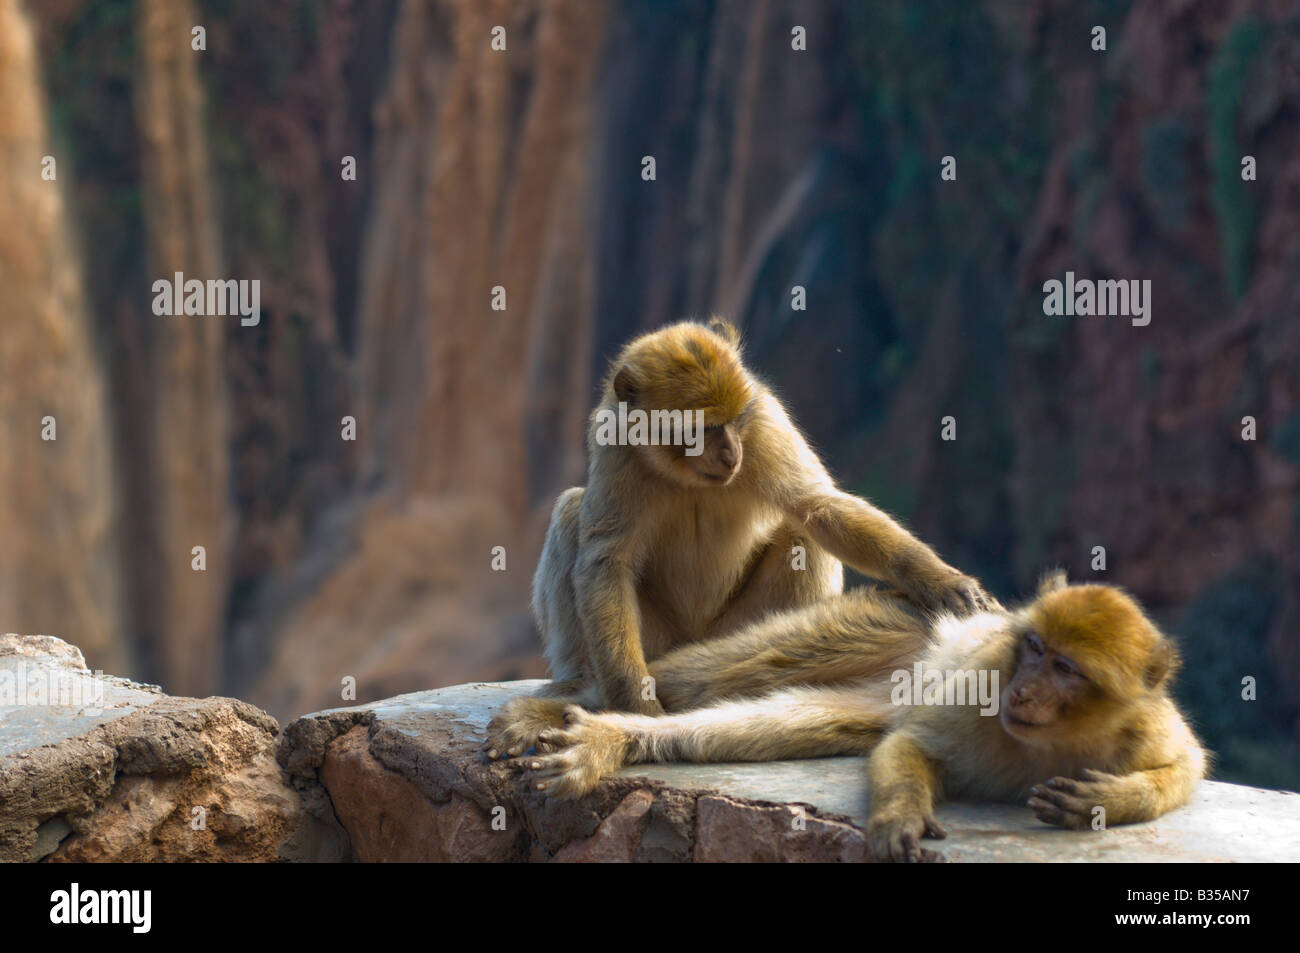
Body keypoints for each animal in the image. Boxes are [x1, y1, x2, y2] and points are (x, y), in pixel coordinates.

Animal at [485, 317, 993, 759]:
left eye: (733, 421)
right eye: (701, 430)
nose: (731, 453)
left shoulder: (763, 420)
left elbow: (817, 506)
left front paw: (938, 580)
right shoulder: (615, 442)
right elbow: (607, 559)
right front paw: (634, 700)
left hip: (737, 624)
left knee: (801, 536)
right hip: (659, 639)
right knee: (573, 510)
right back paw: (575, 680)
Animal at [514, 572, 1207, 862]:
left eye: (1066, 667)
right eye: (1034, 648)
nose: (1024, 693)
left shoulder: (1143, 728)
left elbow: (1186, 767)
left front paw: (1104, 802)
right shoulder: (980, 689)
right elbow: (912, 751)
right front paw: (901, 820)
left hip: (882, 686)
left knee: (794, 721)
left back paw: (611, 736)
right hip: (888, 620)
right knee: (716, 672)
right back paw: (573, 711)